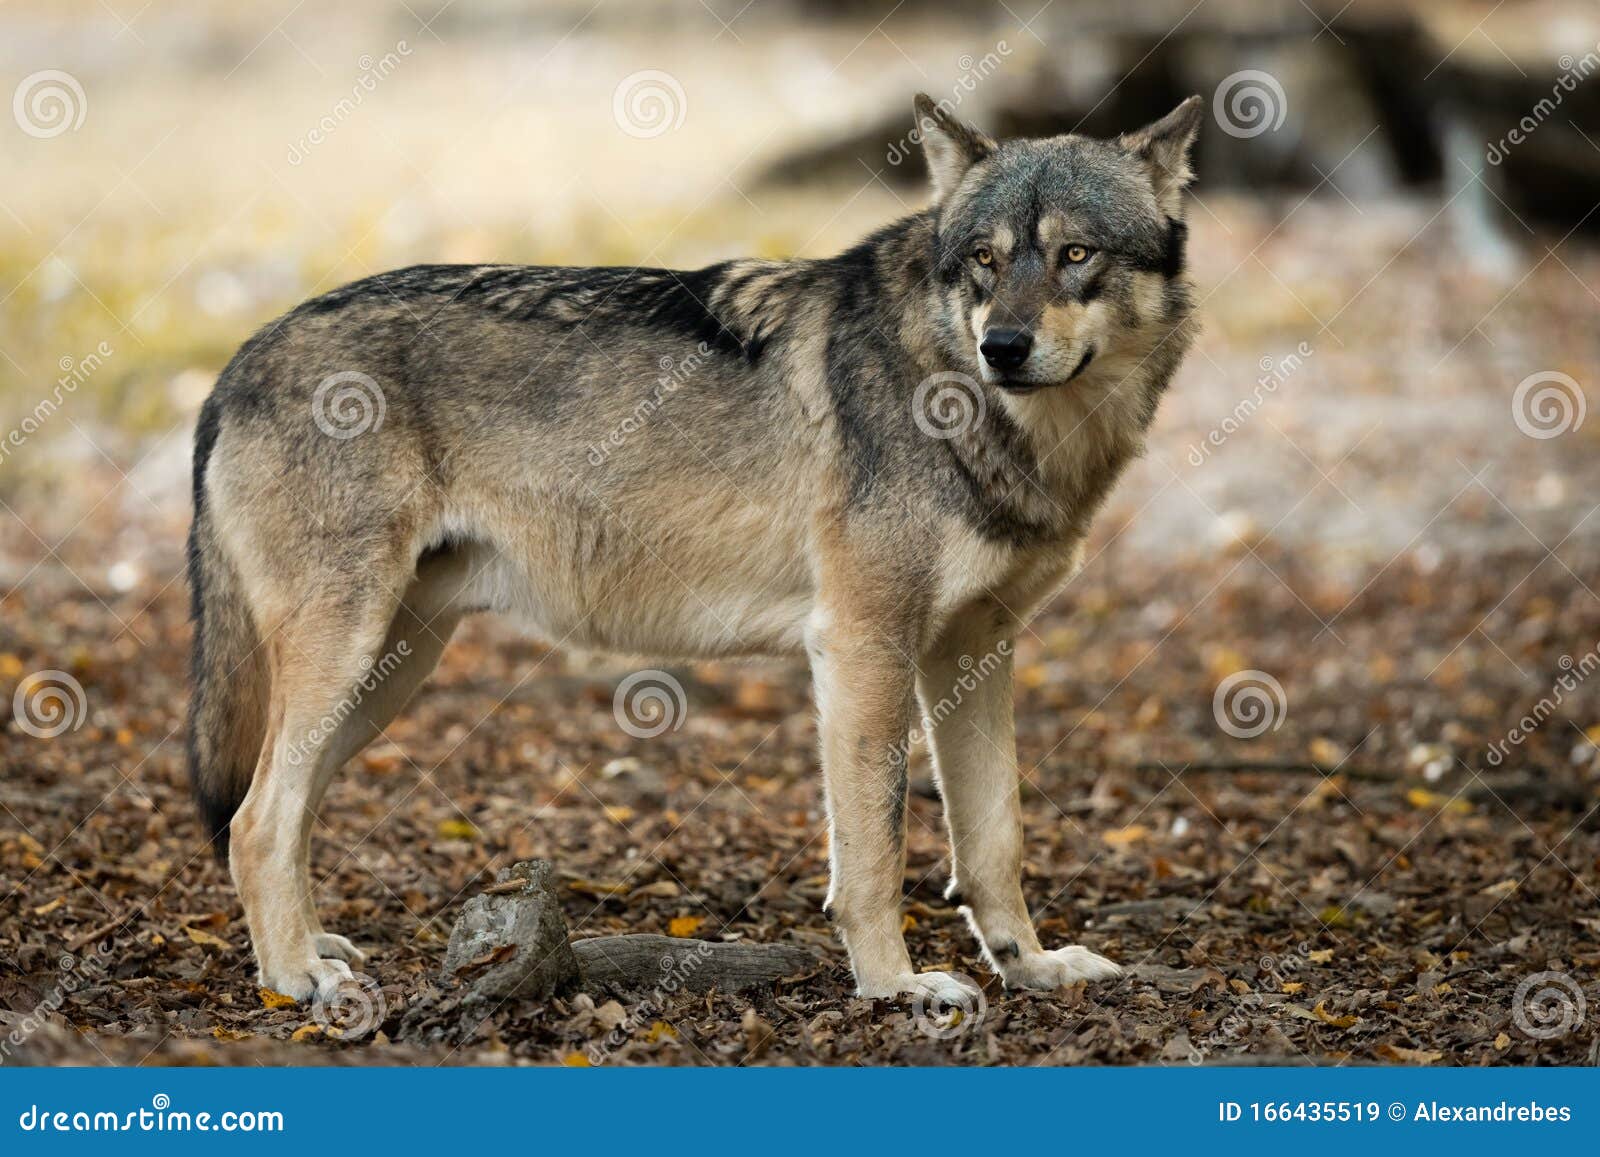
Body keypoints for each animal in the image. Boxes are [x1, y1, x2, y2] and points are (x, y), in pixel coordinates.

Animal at [187, 93, 1203, 1004]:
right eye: (985, 260)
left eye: (1076, 255)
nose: (1003, 346)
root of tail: (238, 357)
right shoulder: (863, 648)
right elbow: (874, 852)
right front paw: (896, 987)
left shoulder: (975, 650)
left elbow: (995, 838)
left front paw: (1031, 966)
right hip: (351, 654)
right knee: (256, 820)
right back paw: (294, 979)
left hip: (387, 672)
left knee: (276, 814)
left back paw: (312, 947)